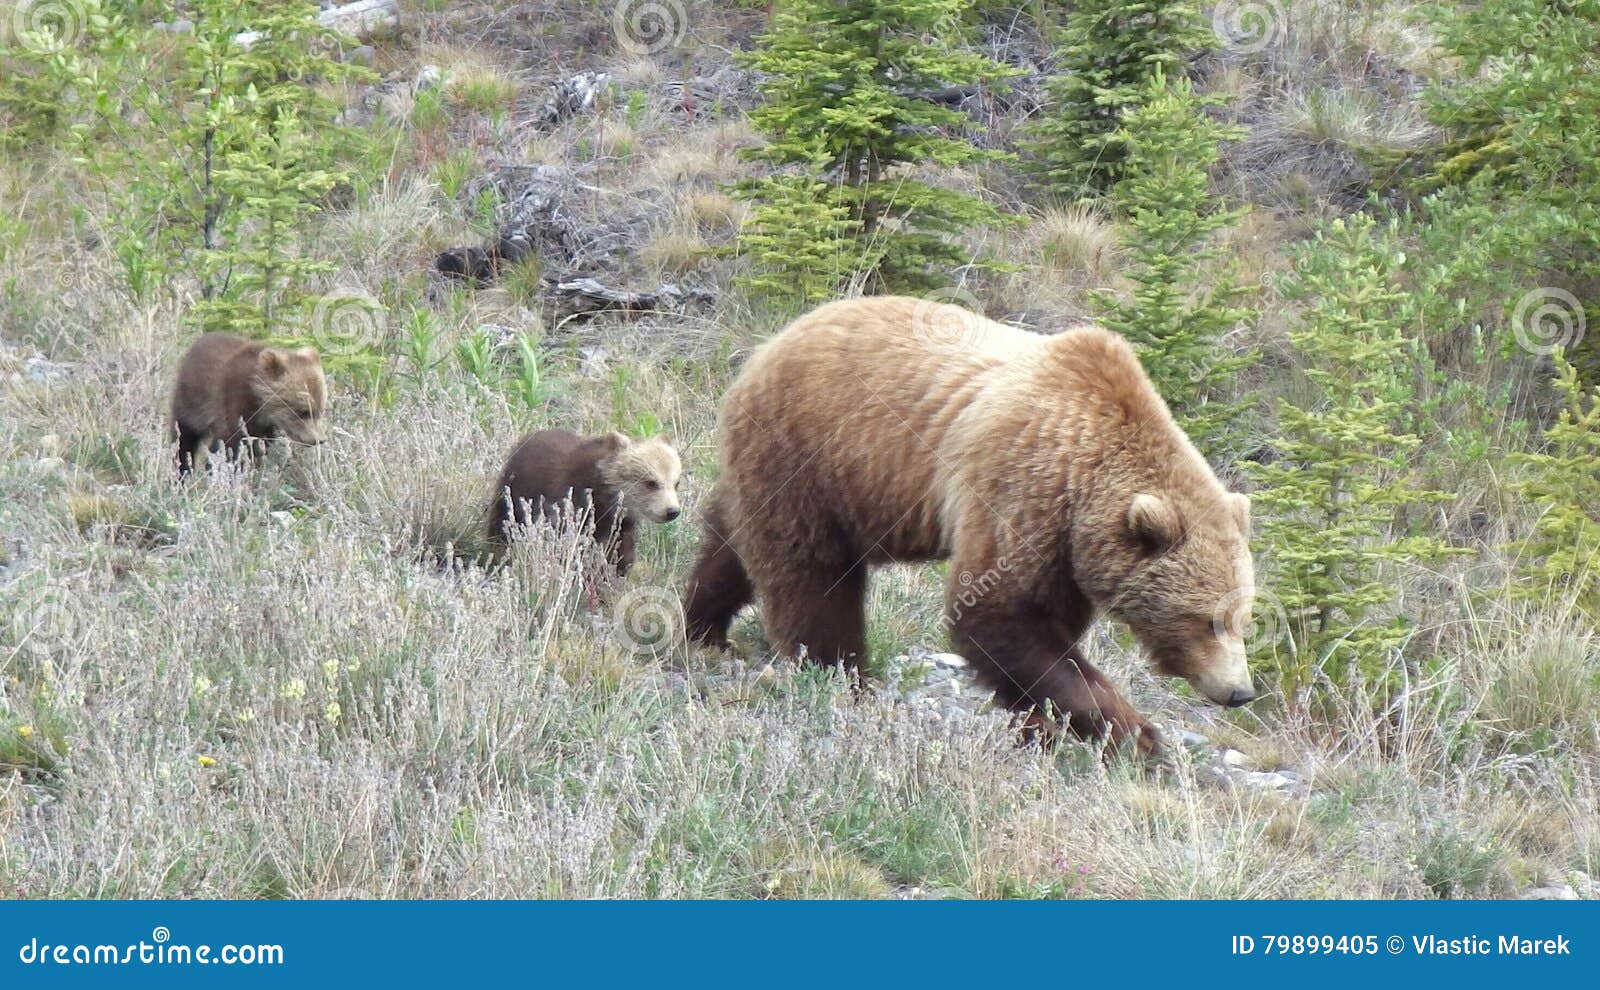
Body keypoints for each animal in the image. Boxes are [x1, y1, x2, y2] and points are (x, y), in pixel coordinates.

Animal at [170, 333, 329, 475]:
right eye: (303, 411)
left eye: (320, 410)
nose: (319, 439)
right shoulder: (232, 404)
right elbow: (229, 445)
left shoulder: (265, 428)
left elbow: (260, 448)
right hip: (190, 402)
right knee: (183, 438)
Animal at [682, 296, 1258, 754]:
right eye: (1207, 620)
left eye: (1241, 618)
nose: (1240, 692)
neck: (1086, 478)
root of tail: (770, 343)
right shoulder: (1022, 489)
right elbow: (995, 613)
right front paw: (1135, 732)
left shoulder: (1067, 551)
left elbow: (1040, 632)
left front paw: (1041, 727)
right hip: (810, 451)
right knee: (810, 575)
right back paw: (841, 675)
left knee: (729, 543)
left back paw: (703, 626)